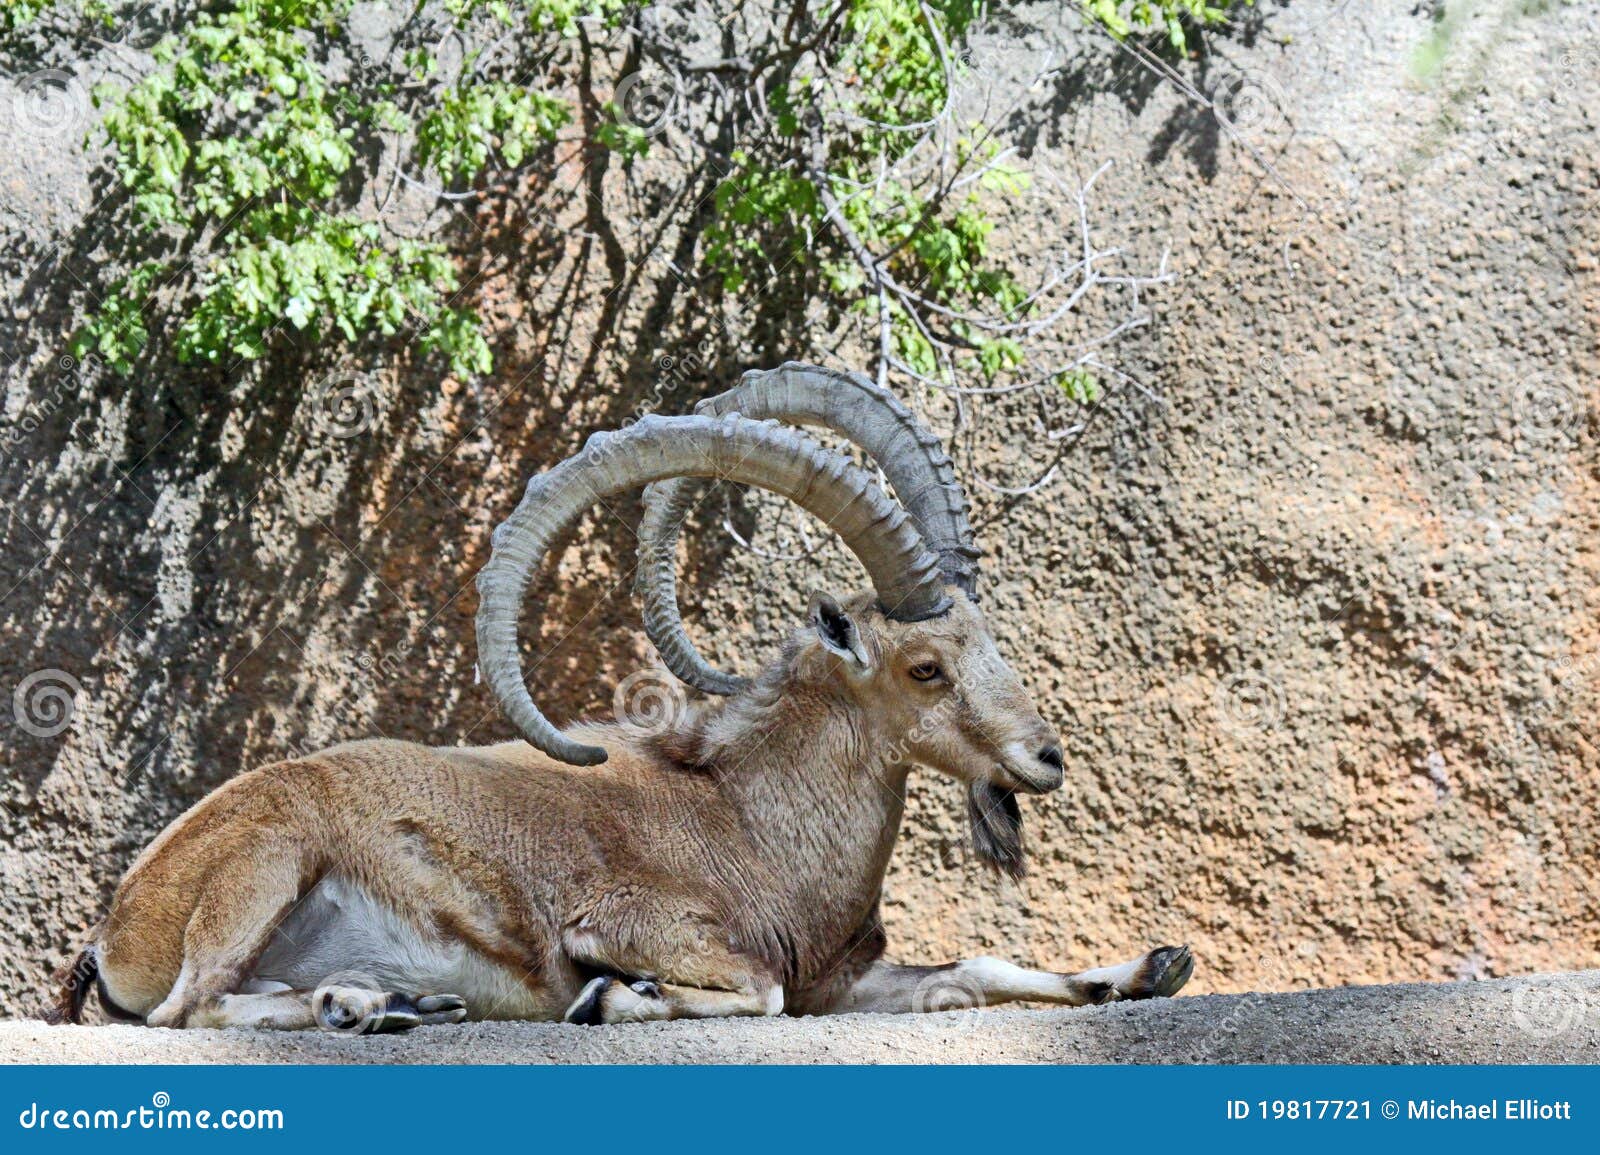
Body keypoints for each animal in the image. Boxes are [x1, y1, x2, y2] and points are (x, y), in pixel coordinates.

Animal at [48, 364, 1192, 1032]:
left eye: (985, 638)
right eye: (925, 667)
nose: (1046, 757)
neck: (752, 821)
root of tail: (115, 922)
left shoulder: (849, 978)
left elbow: (977, 965)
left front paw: (1151, 966)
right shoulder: (639, 923)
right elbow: (753, 990)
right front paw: (608, 998)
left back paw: (386, 1000)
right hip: (269, 858)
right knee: (190, 1009)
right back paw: (374, 1010)